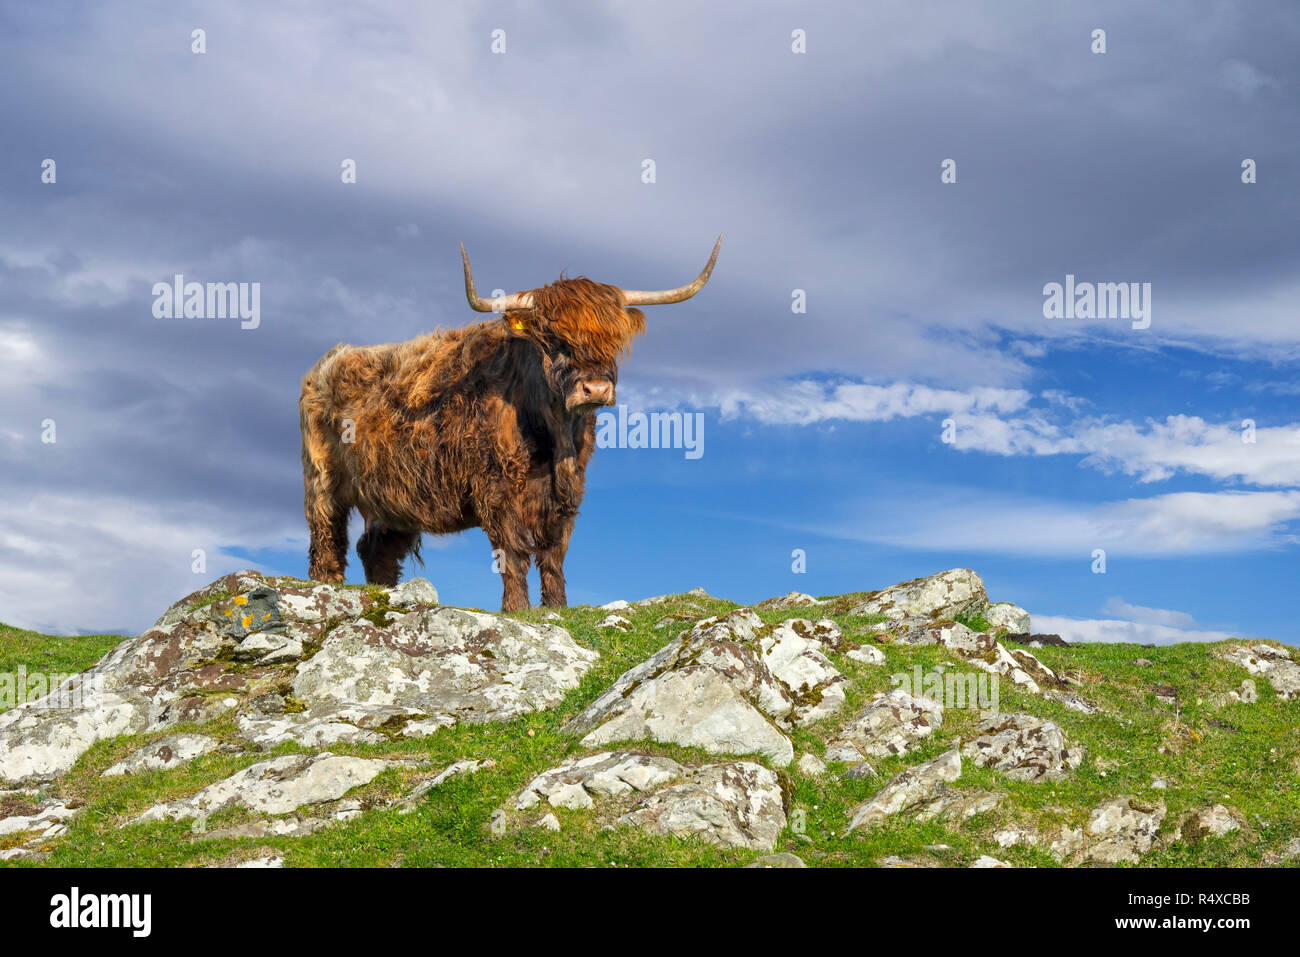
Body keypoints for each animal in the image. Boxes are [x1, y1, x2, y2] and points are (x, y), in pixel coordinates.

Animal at [297, 240, 722, 613]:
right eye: (554, 339)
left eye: (614, 339)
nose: (596, 388)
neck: (555, 438)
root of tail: (330, 359)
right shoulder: (496, 488)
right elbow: (514, 552)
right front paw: (517, 608)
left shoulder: (568, 492)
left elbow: (553, 554)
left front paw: (557, 606)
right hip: (322, 479)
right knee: (326, 534)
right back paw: (327, 587)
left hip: (394, 497)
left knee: (376, 550)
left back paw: (386, 593)